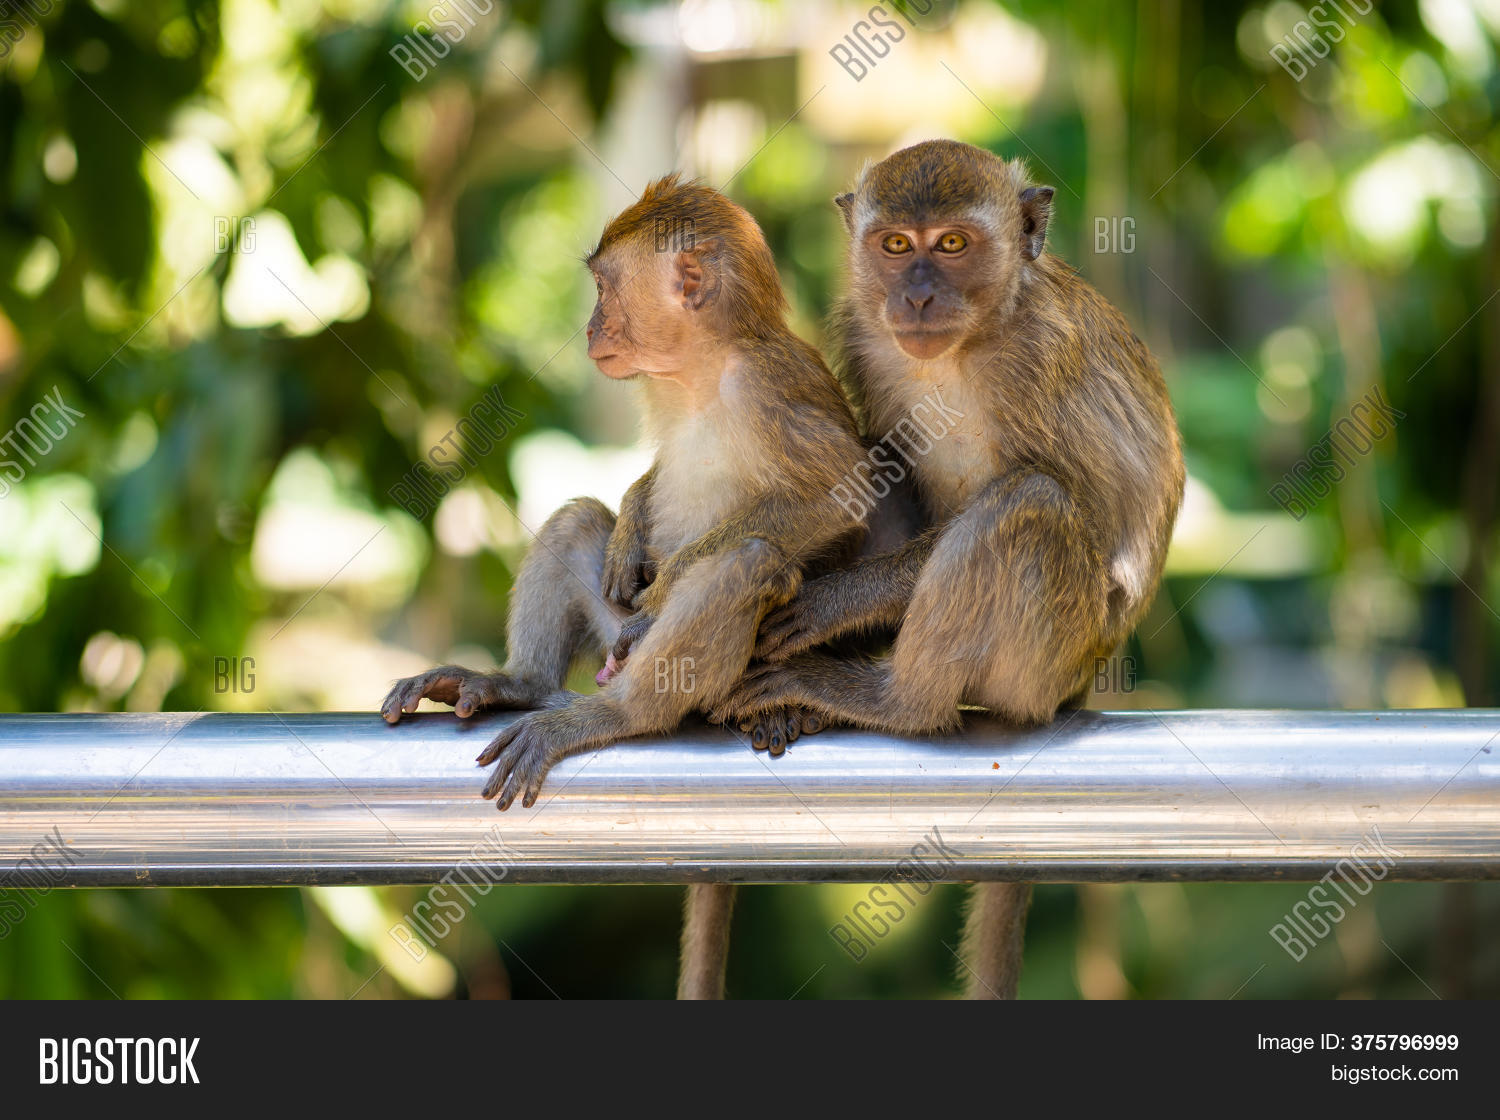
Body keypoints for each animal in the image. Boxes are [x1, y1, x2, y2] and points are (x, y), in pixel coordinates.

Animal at [381, 175, 868, 998]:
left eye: (606, 287)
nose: (588, 327)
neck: (700, 374)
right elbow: (646, 488)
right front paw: (633, 518)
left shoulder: (767, 388)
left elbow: (845, 494)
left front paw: (665, 587)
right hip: (606, 641)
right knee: (579, 522)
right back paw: (517, 682)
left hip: (706, 680)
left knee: (749, 563)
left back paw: (618, 713)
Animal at [710, 139, 1186, 998]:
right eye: (897, 245)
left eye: (954, 244)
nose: (919, 295)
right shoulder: (864, 335)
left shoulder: (1039, 363)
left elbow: (1090, 517)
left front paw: (832, 604)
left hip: (1050, 655)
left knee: (1030, 503)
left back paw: (889, 699)